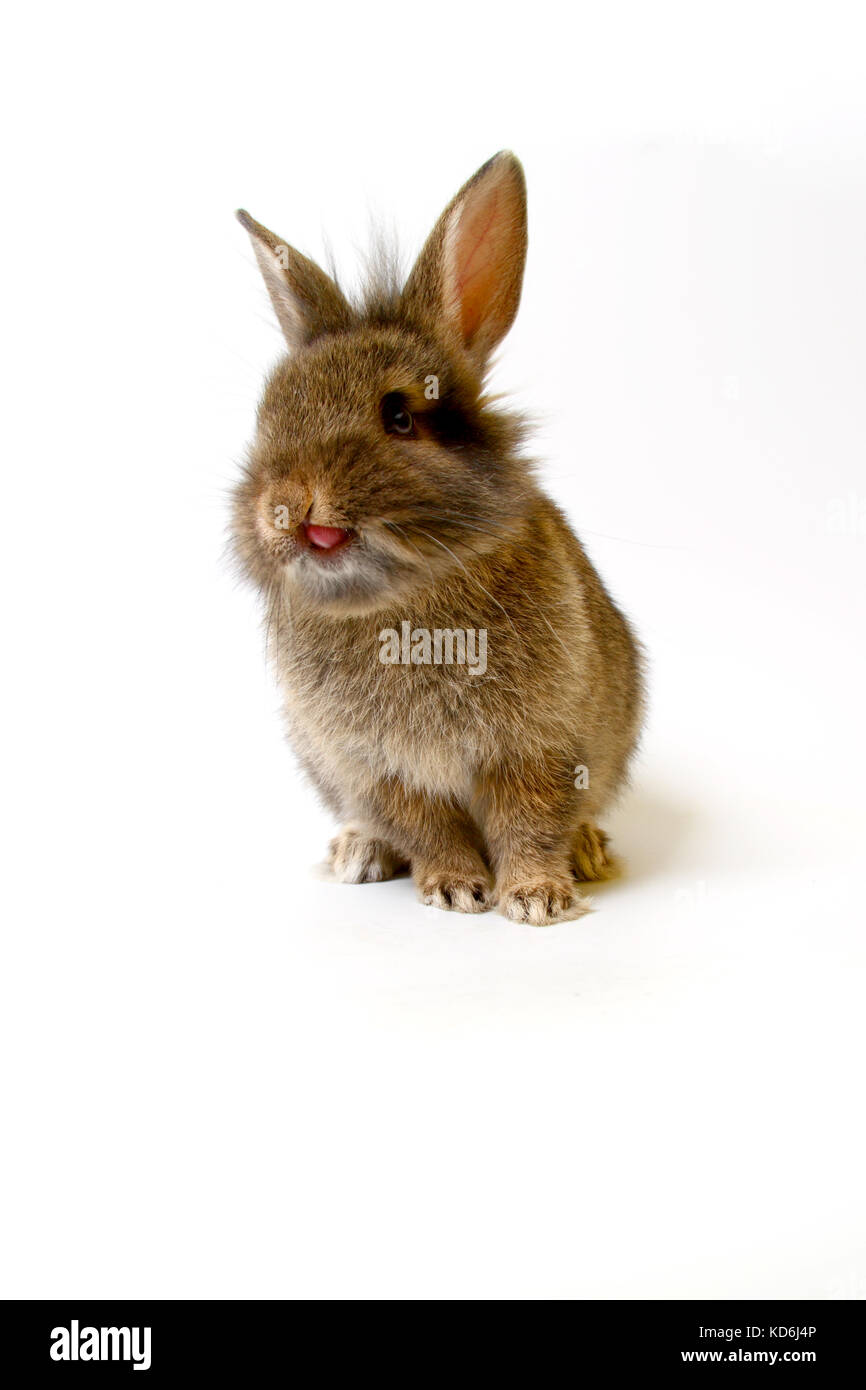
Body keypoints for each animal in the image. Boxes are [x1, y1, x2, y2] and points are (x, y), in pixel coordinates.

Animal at [233, 151, 644, 925]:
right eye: (269, 416)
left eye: (399, 415)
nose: (286, 507)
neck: (401, 601)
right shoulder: (379, 768)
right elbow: (426, 827)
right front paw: (455, 889)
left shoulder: (538, 749)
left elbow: (530, 821)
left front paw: (536, 898)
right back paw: (357, 853)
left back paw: (588, 852)